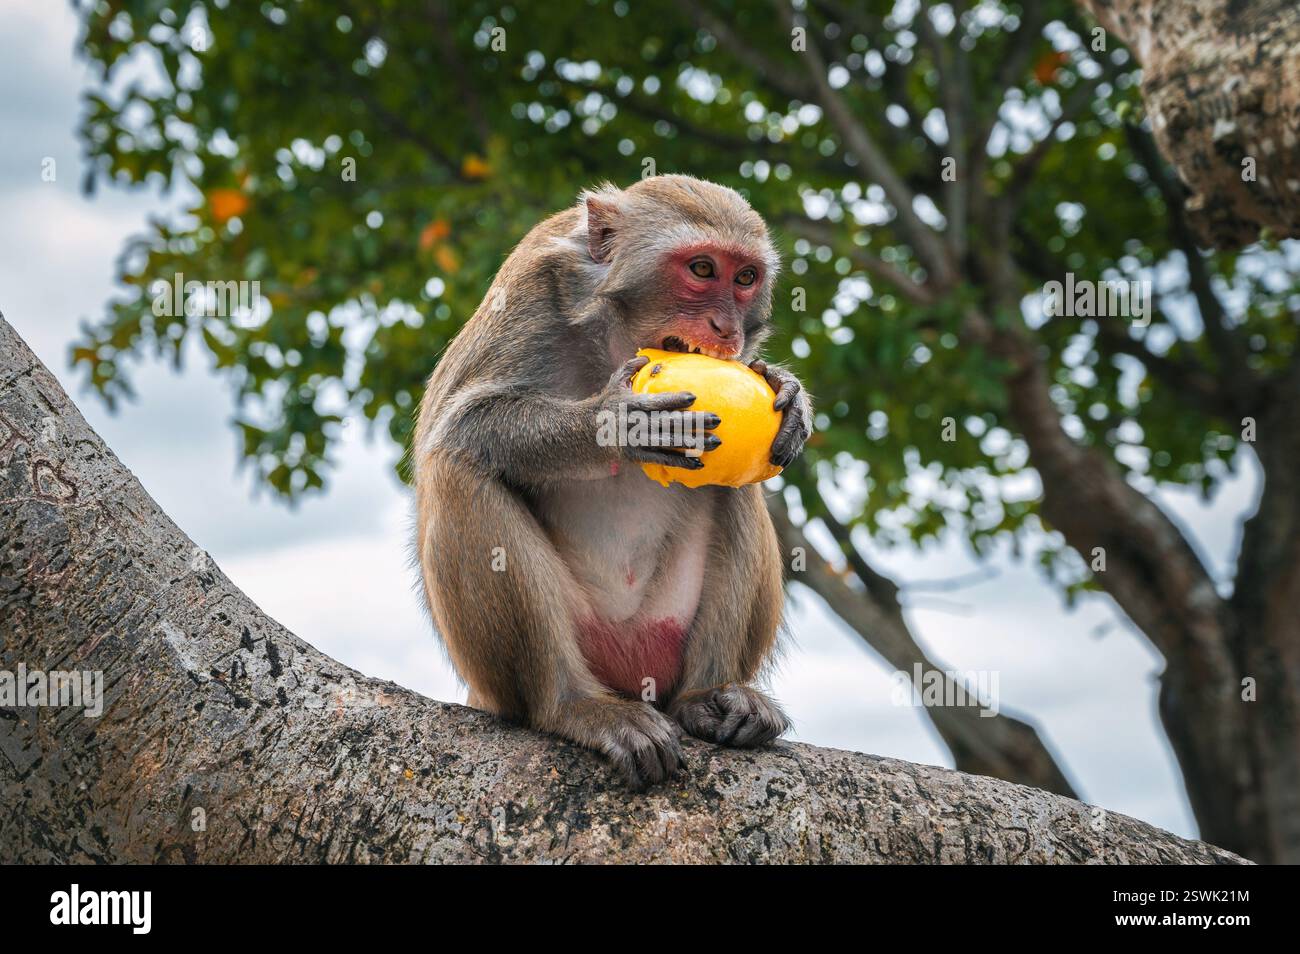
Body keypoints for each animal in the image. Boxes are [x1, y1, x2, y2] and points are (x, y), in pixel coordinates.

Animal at [413, 174, 812, 789]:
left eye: (745, 278)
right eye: (702, 269)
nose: (727, 328)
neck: (614, 341)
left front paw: (788, 389)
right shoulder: (528, 294)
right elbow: (459, 424)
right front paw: (617, 422)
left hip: (661, 636)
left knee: (734, 486)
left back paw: (708, 698)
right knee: (457, 467)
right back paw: (572, 705)